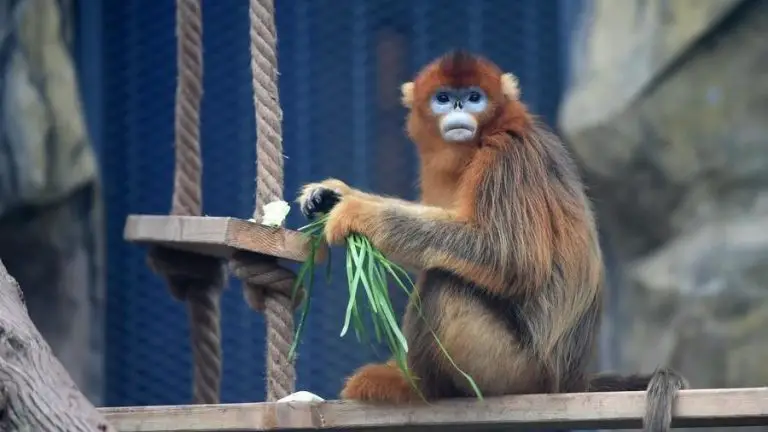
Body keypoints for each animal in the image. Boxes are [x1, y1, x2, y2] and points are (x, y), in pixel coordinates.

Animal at [297, 50, 688, 432]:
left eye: (474, 98)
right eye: (443, 98)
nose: (458, 108)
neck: (486, 136)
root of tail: (569, 381)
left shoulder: (505, 157)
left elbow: (507, 256)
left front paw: (355, 211)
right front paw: (332, 194)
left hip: (516, 371)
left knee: (445, 283)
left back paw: (417, 386)